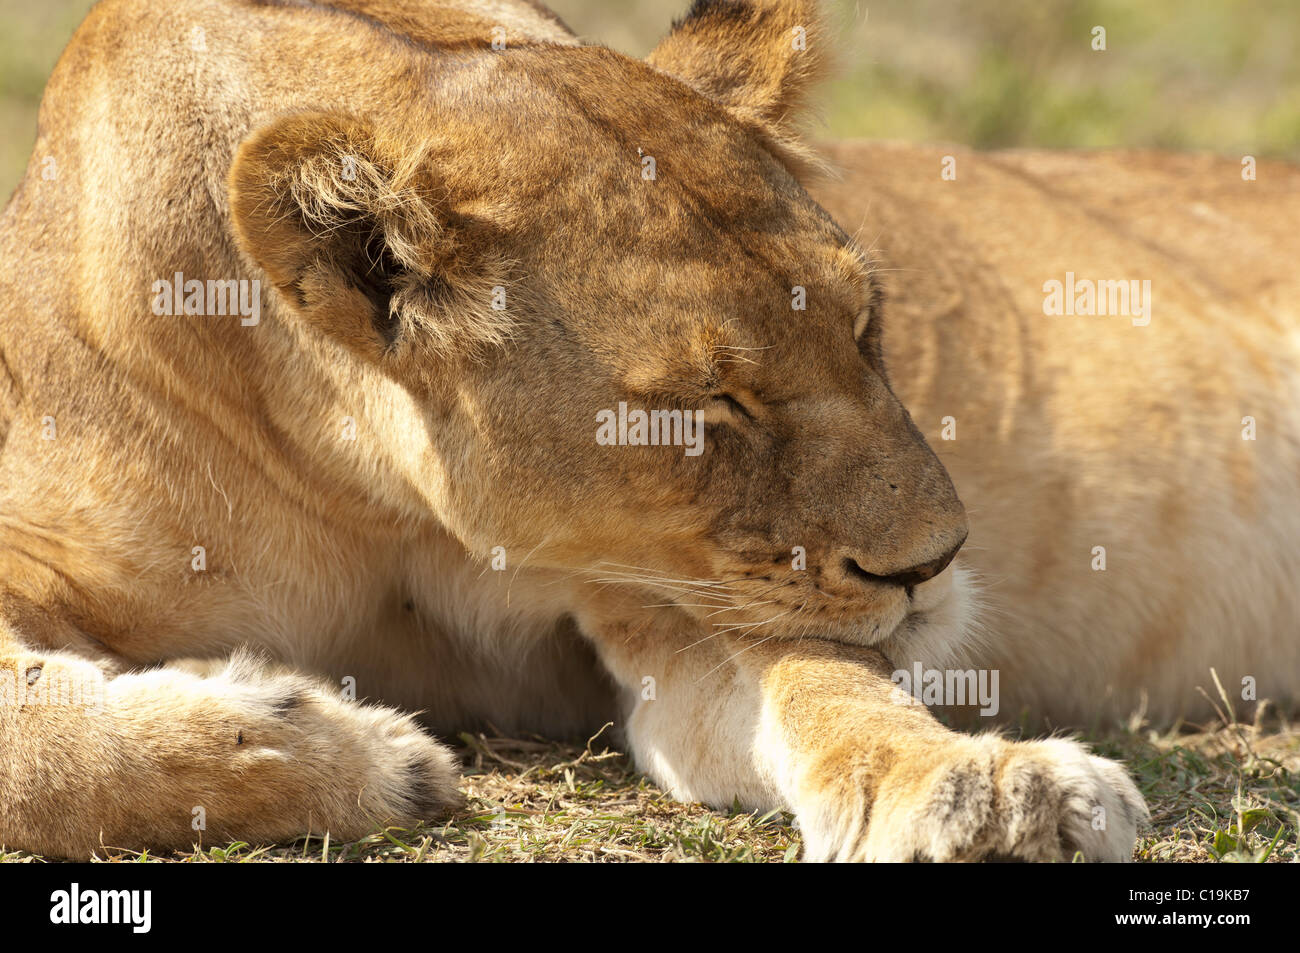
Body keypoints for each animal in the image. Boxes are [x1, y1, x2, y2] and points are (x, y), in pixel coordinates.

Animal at [1, 0, 1292, 862]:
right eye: (706, 402)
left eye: (866, 322)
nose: (936, 564)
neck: (366, 489)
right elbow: (31, 751)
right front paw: (361, 760)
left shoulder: (669, 596)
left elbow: (825, 685)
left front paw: (989, 786)